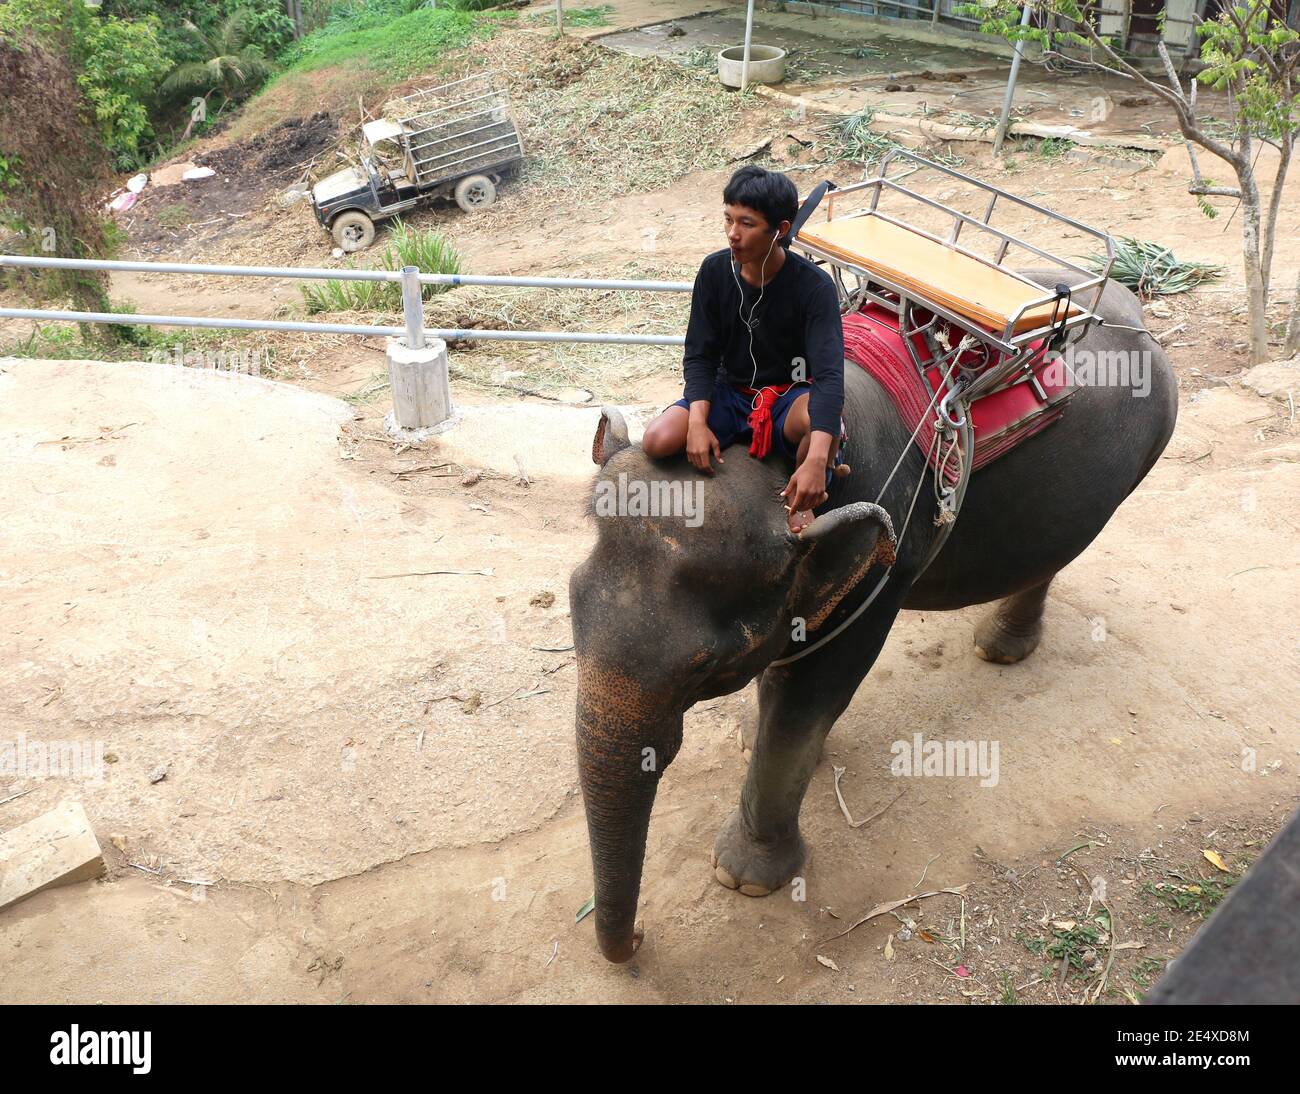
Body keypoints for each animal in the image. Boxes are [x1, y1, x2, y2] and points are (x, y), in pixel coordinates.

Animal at [569, 271, 1178, 963]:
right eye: (570, 608)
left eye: (707, 667)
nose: (640, 939)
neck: (771, 459)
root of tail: (1135, 311)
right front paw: (755, 734)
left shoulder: (889, 562)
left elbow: (811, 693)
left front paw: (744, 878)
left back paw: (1000, 652)